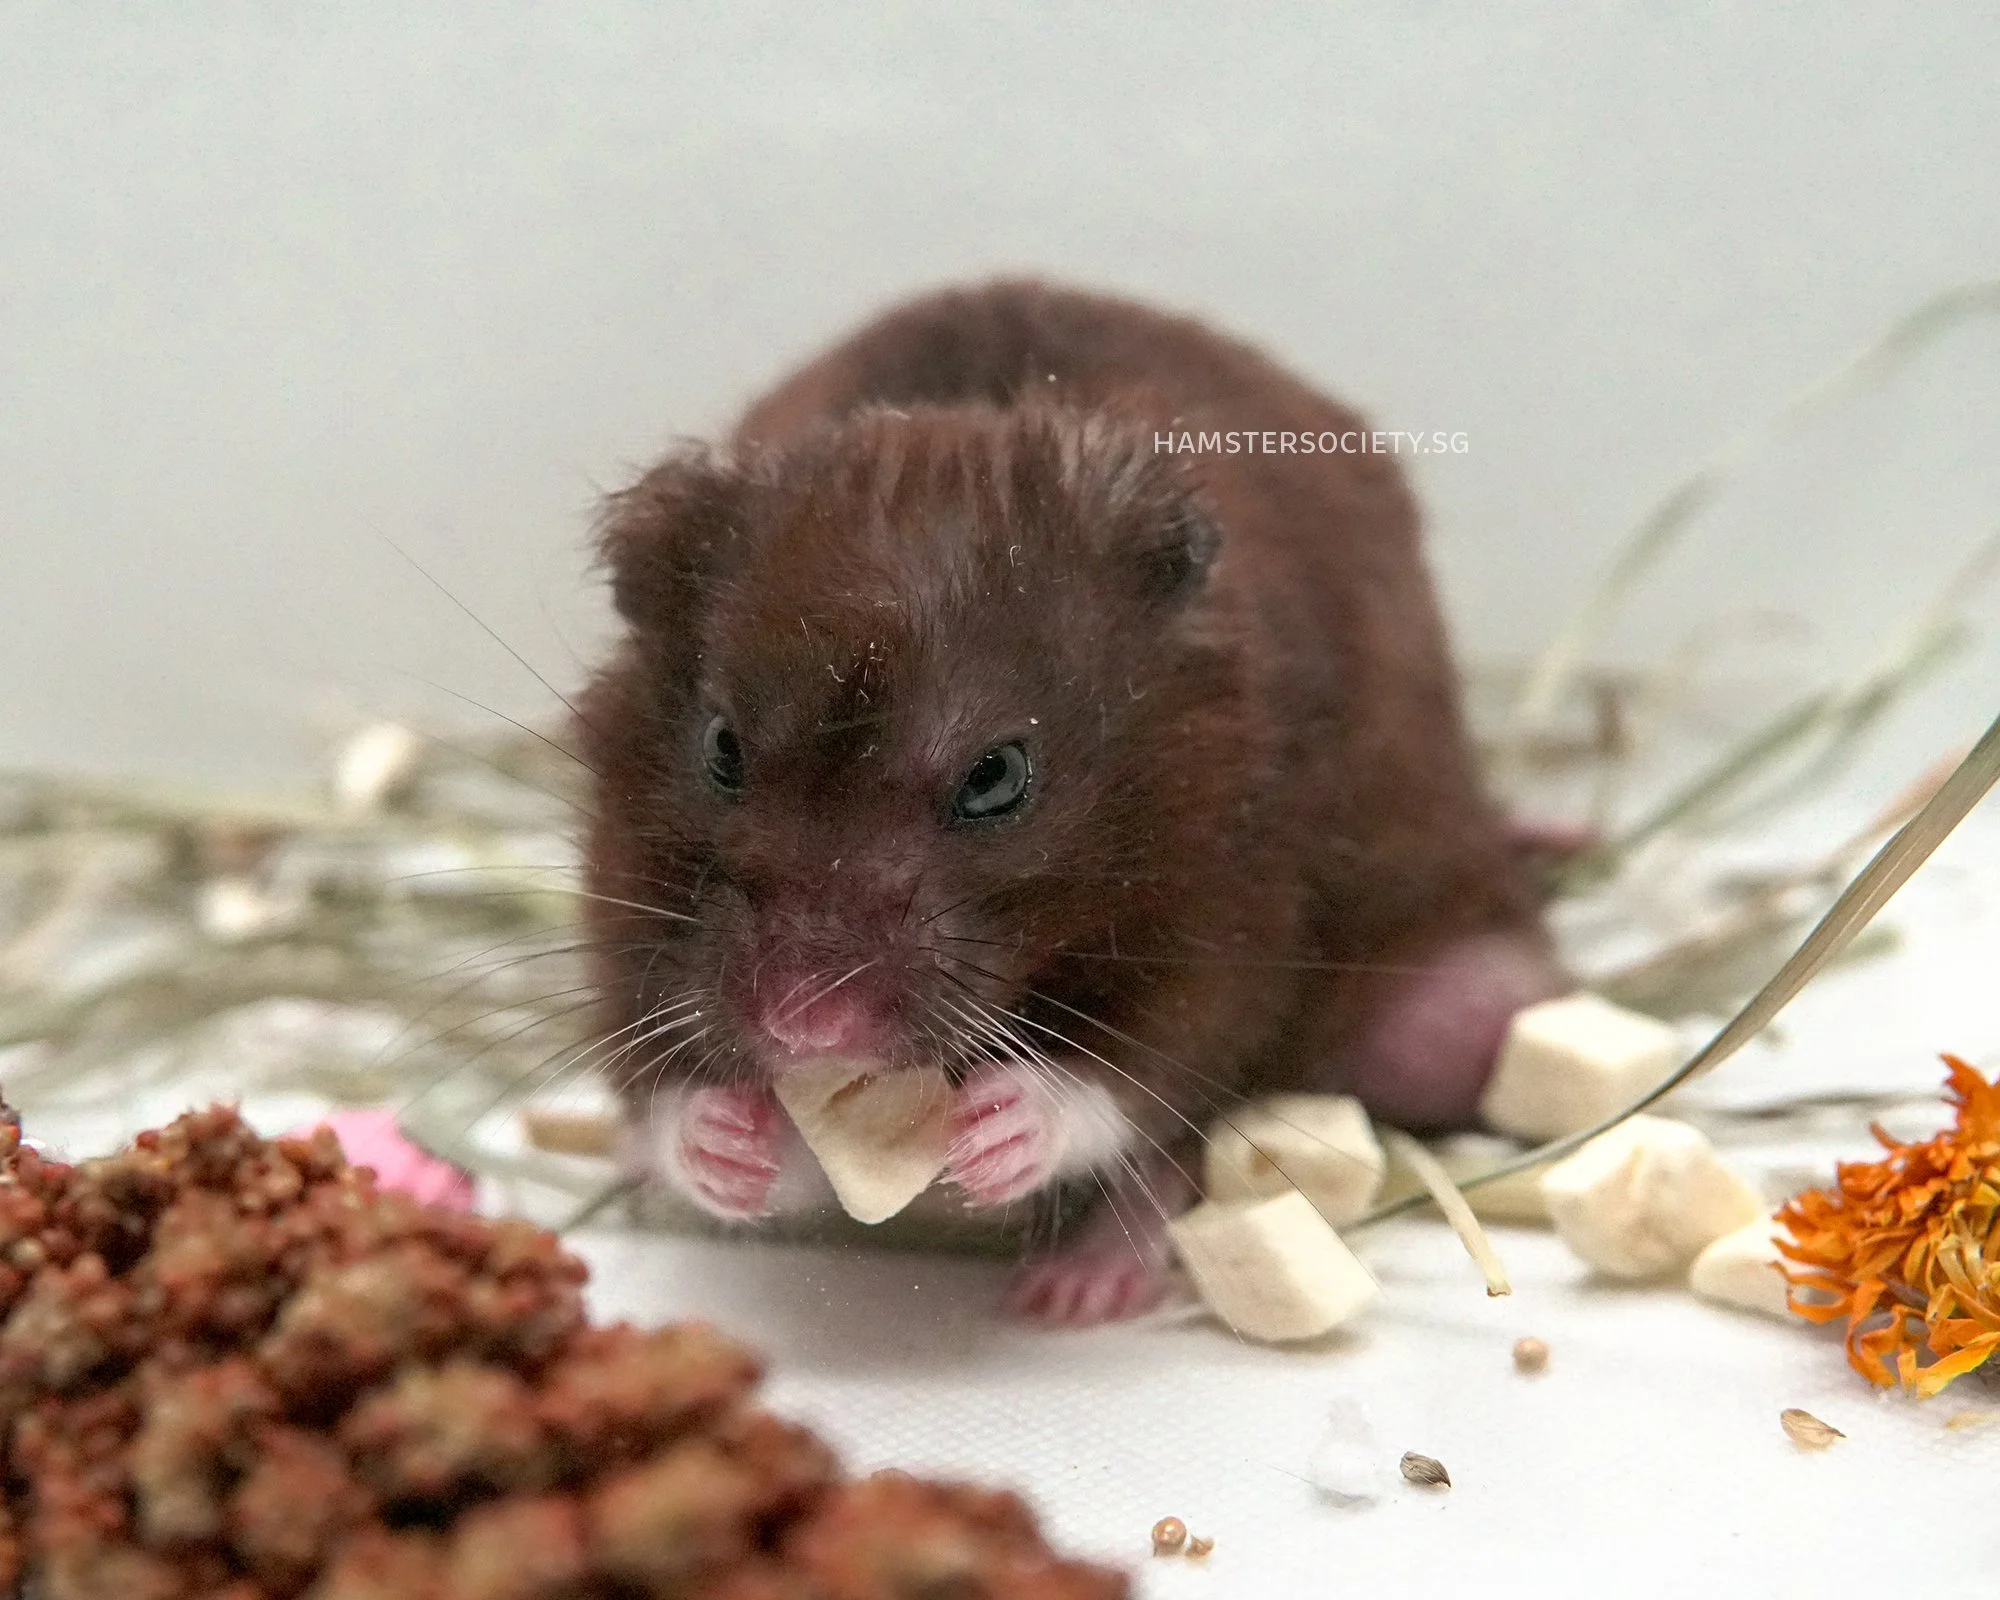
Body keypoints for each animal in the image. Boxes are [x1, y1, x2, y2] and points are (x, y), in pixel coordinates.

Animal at [577, 281, 1564, 1323]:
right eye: (721, 751)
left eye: (997, 778)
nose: (804, 1029)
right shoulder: (619, 904)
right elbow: (676, 1096)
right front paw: (721, 1139)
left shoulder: (1229, 910)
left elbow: (1129, 1079)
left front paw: (999, 1129)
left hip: (1458, 1011)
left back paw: (1078, 1289)